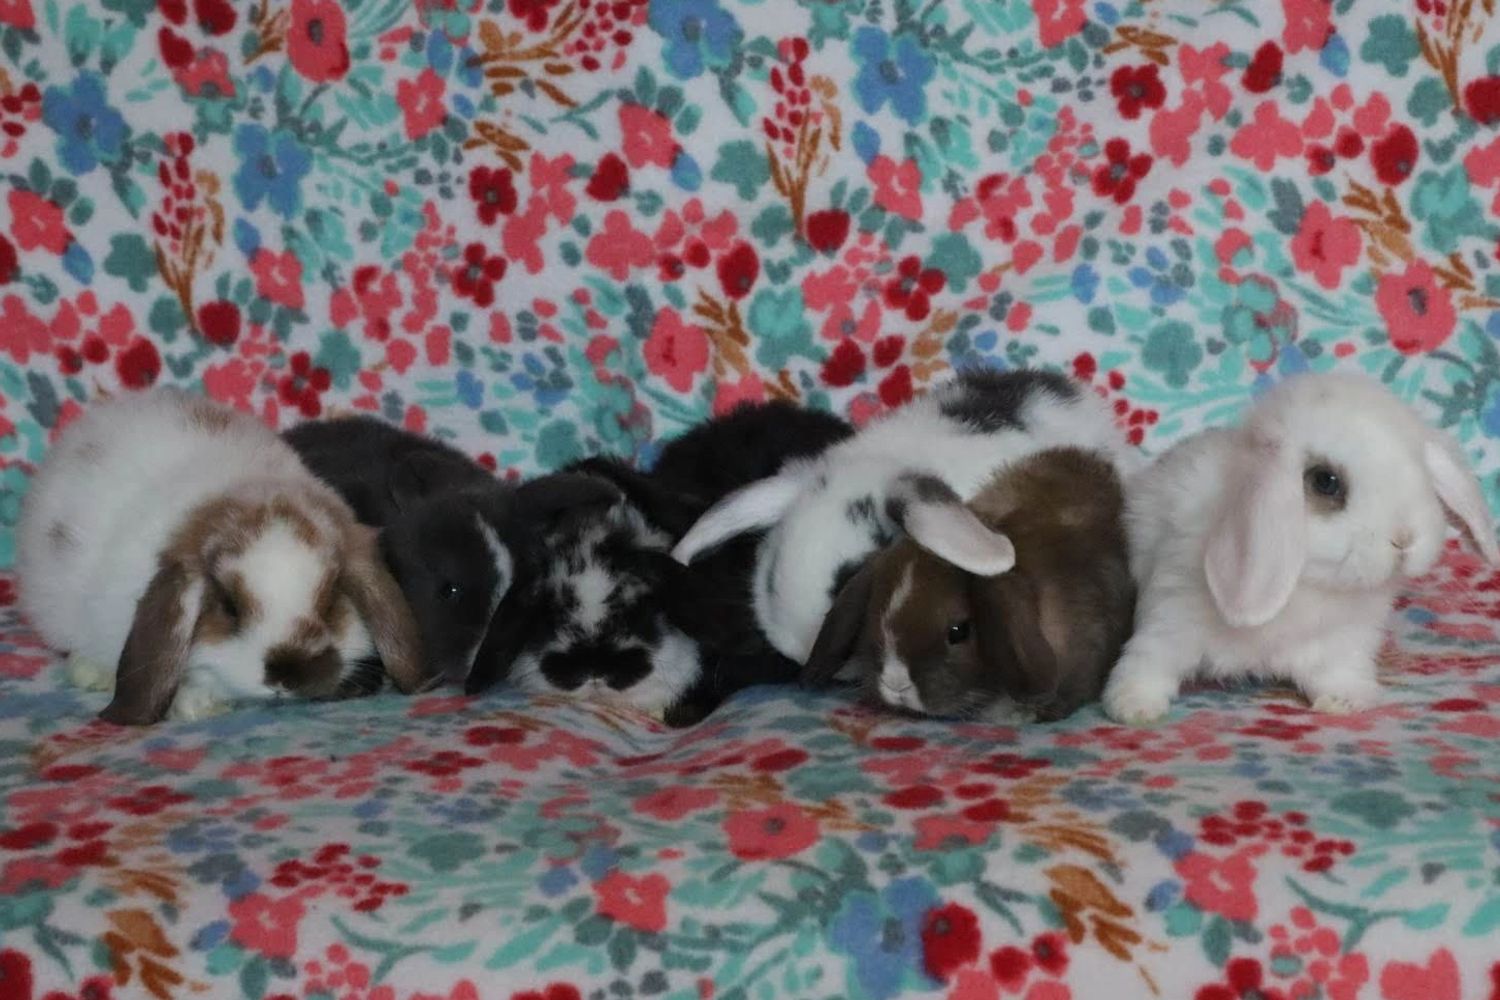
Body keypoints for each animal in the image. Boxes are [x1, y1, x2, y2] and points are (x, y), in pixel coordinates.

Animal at [1101, 371, 1500, 725]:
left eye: (1418, 466)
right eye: (1326, 481)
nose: (1404, 539)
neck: (1305, 586)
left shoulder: (1343, 641)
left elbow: (1340, 672)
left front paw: (1346, 700)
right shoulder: (1170, 615)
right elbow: (1149, 660)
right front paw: (1133, 705)